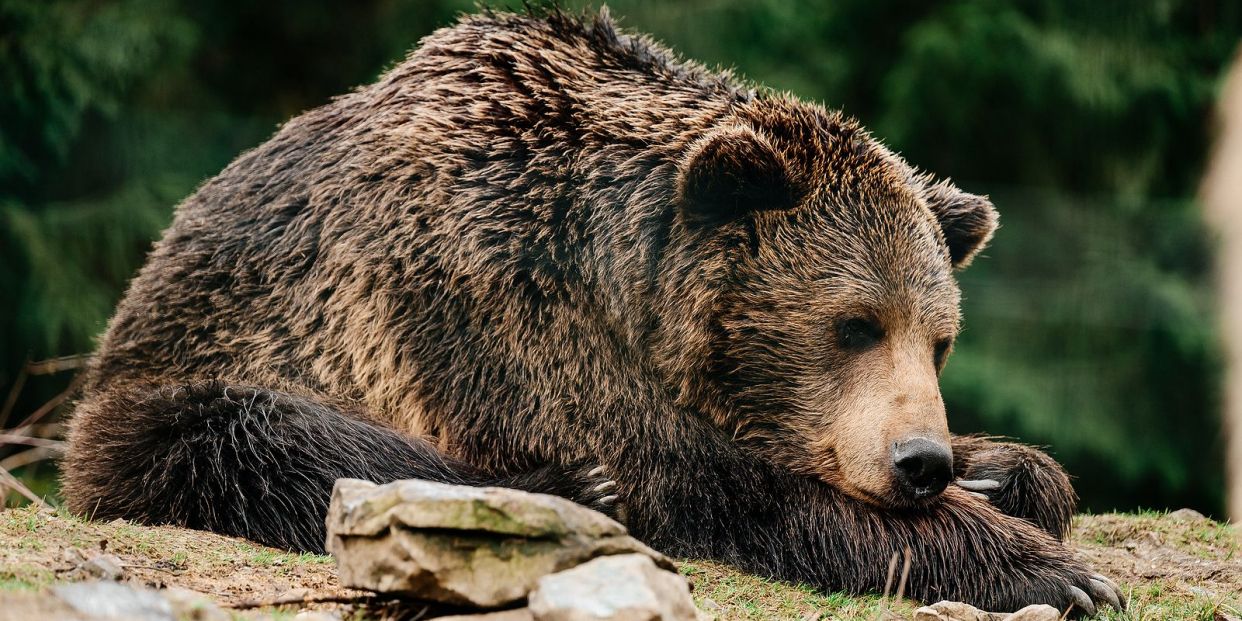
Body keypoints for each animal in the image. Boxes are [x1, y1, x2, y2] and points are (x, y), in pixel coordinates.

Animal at [62, 7, 1121, 614]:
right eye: (852, 322)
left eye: (937, 340)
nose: (921, 461)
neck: (620, 273)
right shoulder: (491, 301)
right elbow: (705, 484)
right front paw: (1054, 570)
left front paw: (1010, 473)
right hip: (189, 372)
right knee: (265, 440)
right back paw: (570, 487)